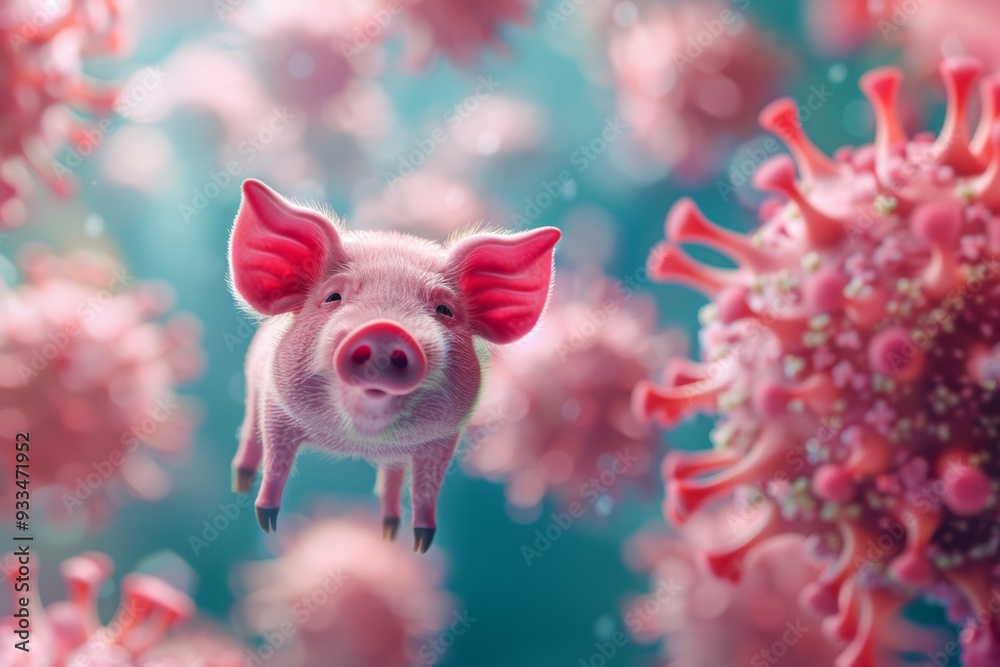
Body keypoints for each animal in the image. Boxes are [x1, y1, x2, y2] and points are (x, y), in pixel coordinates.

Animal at [228, 179, 560, 552]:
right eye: (333, 297)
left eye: (444, 310)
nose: (385, 329)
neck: (359, 443)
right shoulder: (276, 405)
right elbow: (276, 459)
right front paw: (266, 520)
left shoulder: (442, 440)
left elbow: (427, 487)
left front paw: (422, 543)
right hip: (253, 382)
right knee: (251, 433)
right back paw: (241, 481)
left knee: (392, 476)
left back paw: (389, 531)